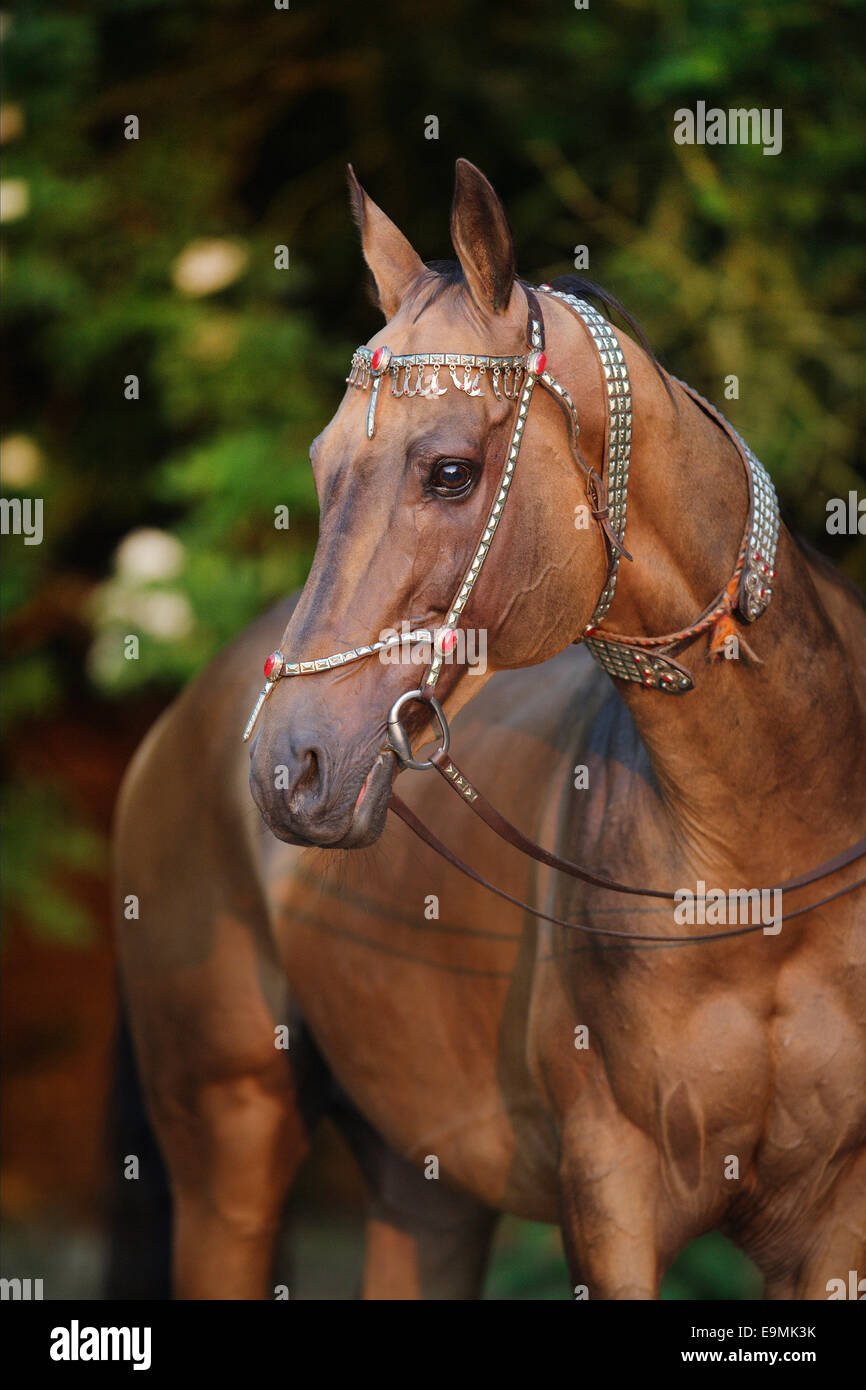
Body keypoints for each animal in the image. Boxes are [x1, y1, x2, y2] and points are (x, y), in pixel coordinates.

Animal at [113, 159, 866, 1299]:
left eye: (451, 471)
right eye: (321, 464)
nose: (290, 769)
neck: (765, 855)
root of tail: (174, 731)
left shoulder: (834, 1222)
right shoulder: (610, 1193)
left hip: (422, 1181)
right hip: (228, 1144)